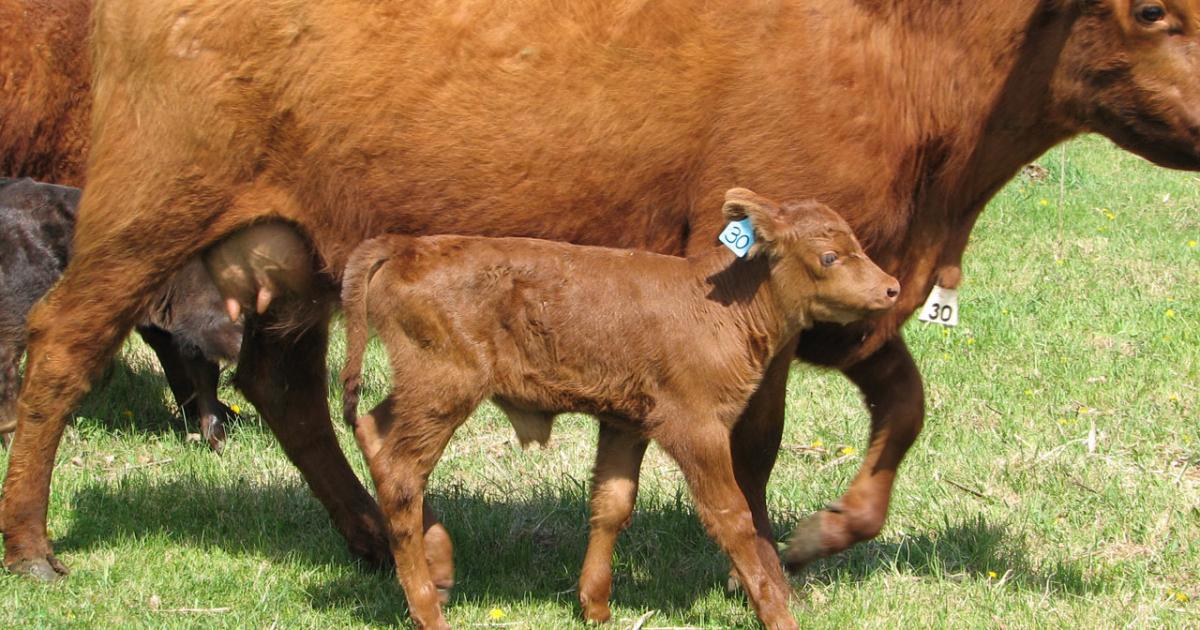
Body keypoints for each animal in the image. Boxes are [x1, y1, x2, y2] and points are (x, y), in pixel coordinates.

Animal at [338, 189, 899, 629]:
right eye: (829, 257)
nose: (891, 288)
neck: (718, 306)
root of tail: (408, 245)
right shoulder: (697, 425)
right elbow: (732, 516)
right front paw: (777, 612)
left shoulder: (627, 422)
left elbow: (612, 503)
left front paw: (595, 605)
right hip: (444, 386)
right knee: (401, 472)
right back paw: (428, 610)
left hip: (423, 390)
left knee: (371, 431)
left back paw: (439, 566)